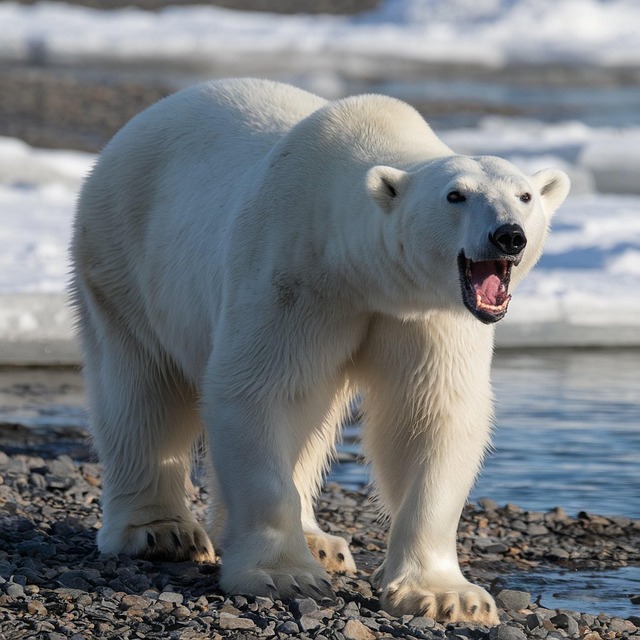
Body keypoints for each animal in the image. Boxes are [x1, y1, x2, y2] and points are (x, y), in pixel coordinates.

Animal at [69, 78, 570, 626]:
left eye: (524, 195)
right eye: (455, 195)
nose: (508, 235)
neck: (363, 273)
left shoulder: (426, 316)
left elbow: (431, 416)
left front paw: (447, 596)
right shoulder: (294, 274)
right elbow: (260, 393)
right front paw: (282, 575)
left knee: (313, 421)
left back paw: (319, 541)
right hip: (122, 256)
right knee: (141, 392)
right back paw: (160, 531)